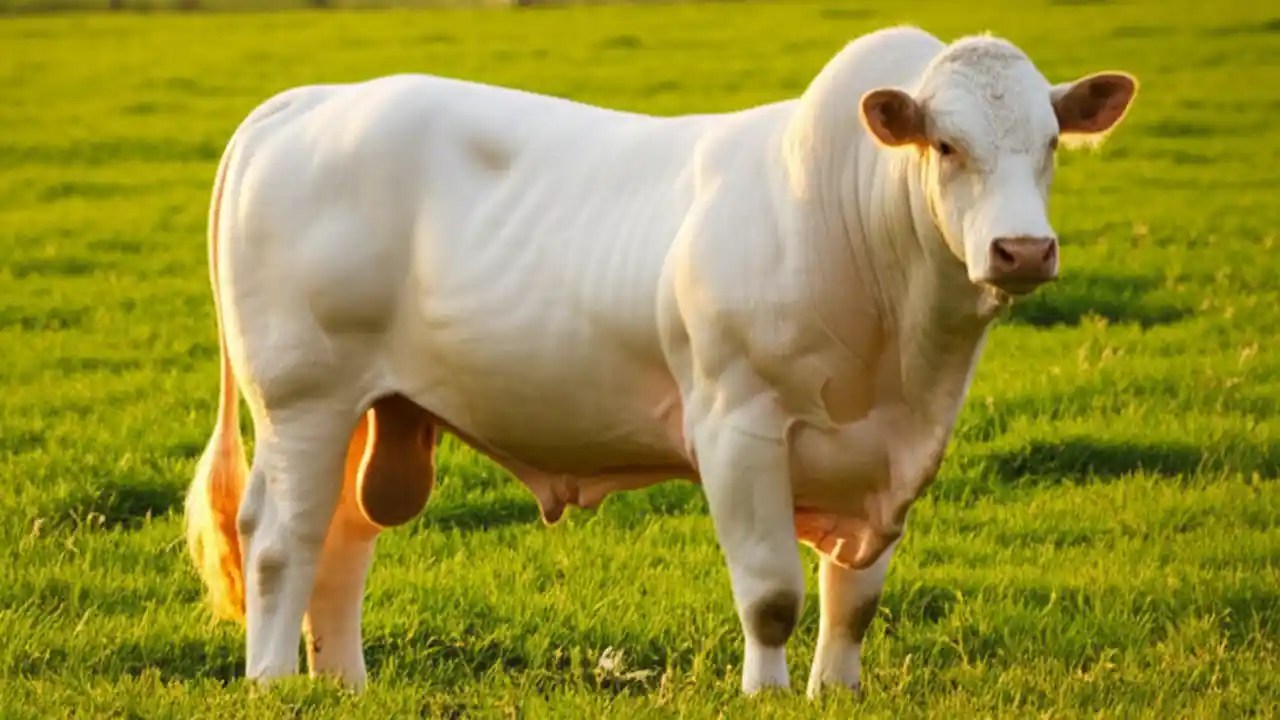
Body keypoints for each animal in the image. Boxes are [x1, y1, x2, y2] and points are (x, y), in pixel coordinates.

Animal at [184, 26, 1136, 696]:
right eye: (946, 146)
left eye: (1051, 144)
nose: (1022, 250)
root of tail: (311, 99)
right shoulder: (735, 424)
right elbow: (773, 593)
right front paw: (768, 693)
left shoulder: (896, 455)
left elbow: (854, 602)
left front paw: (837, 690)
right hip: (302, 397)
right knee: (281, 537)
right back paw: (273, 680)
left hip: (373, 405)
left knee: (343, 537)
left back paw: (343, 682)